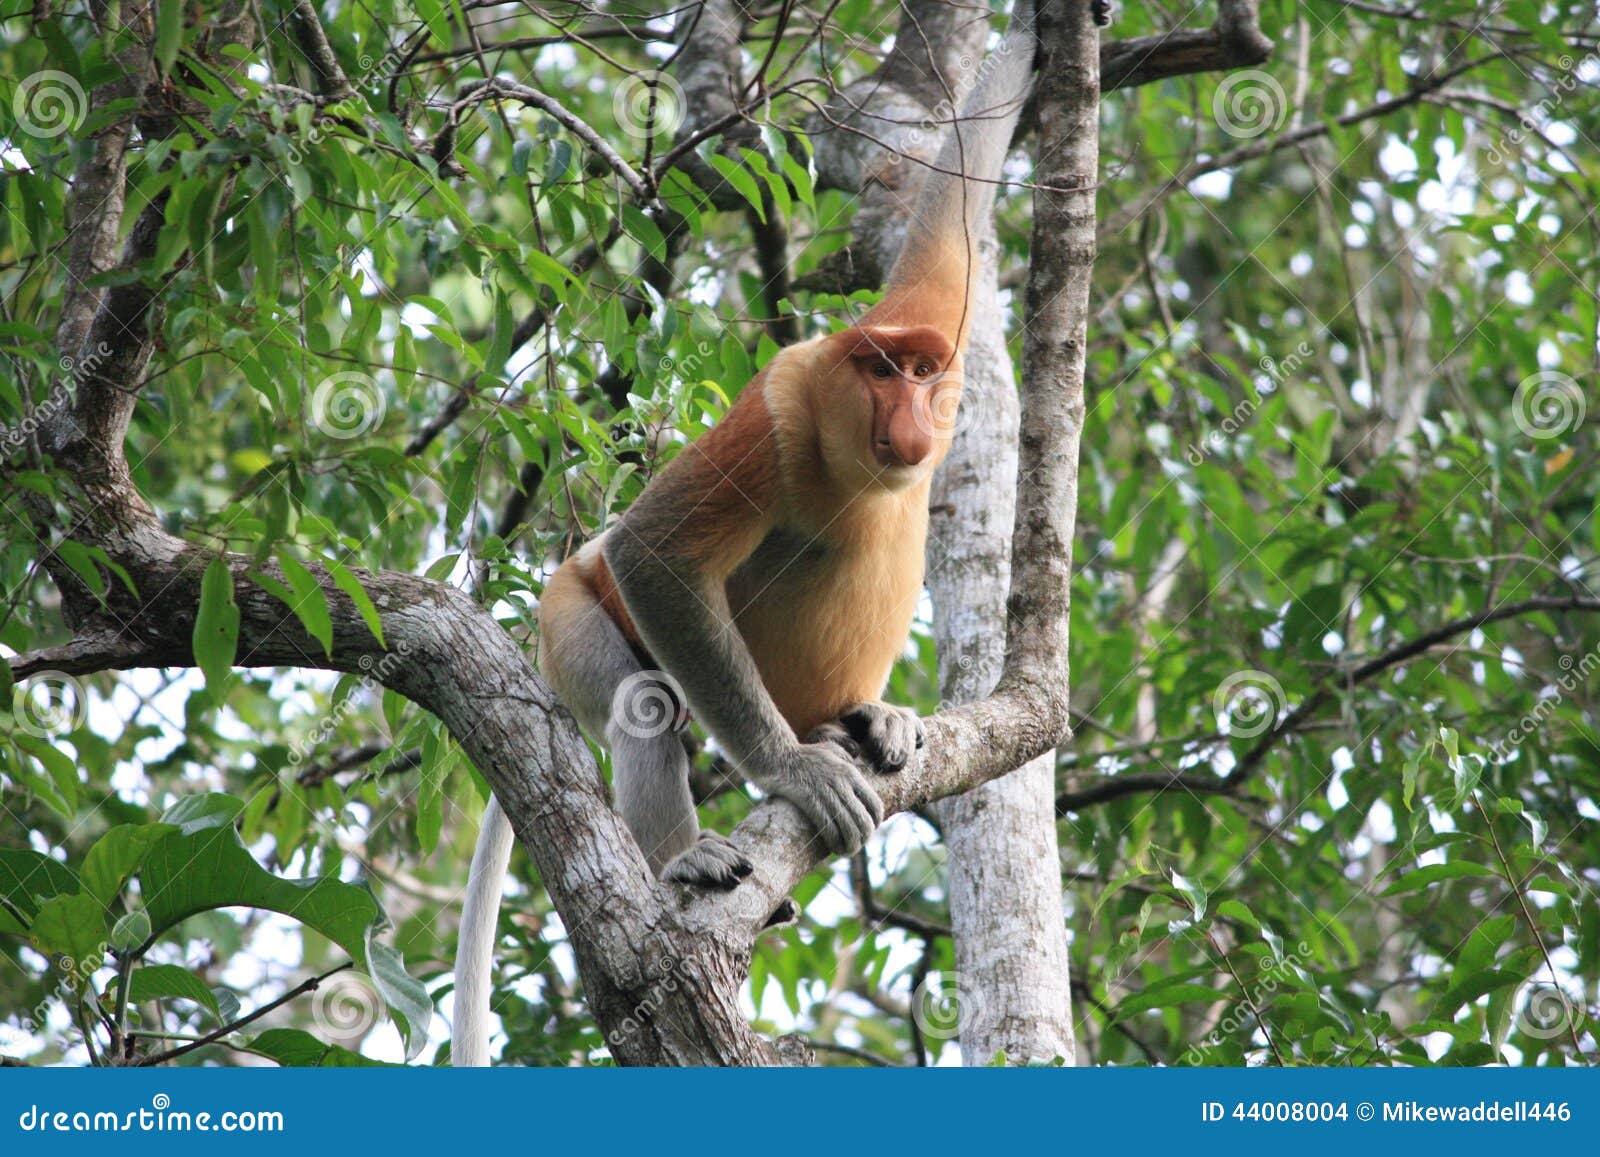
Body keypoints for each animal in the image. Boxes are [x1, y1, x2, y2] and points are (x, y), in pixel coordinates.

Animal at [453, 1, 1038, 1066]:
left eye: (921, 370)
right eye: (878, 372)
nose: (916, 416)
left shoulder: (933, 319)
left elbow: (948, 237)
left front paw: (1048, 38)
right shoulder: (775, 416)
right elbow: (653, 551)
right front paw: (791, 771)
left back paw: (866, 720)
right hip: (569, 612)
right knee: (643, 693)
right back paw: (691, 857)